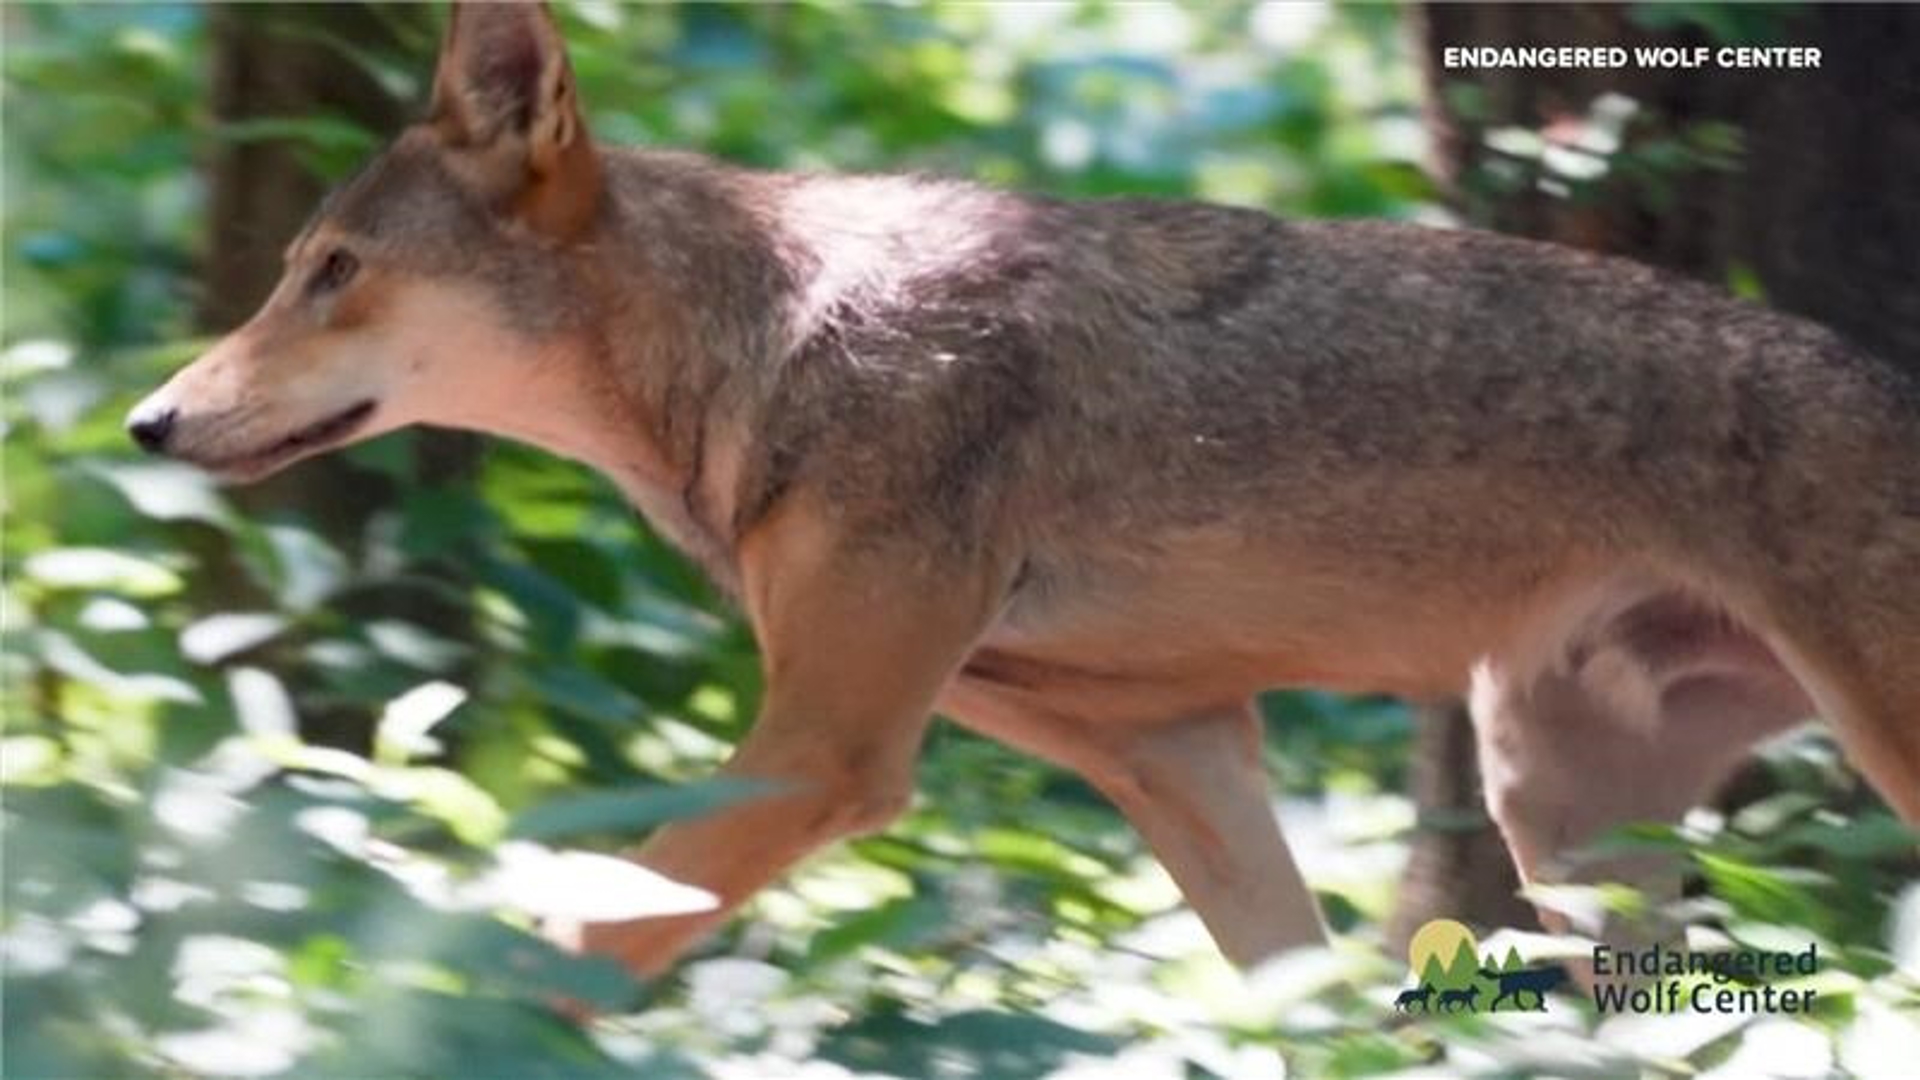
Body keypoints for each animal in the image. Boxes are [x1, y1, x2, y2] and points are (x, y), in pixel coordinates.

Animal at [129, 2, 1920, 978]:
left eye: (333, 271)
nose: (147, 423)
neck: (762, 348)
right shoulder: (1178, 754)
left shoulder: (828, 755)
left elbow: (577, 940)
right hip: (1555, 813)